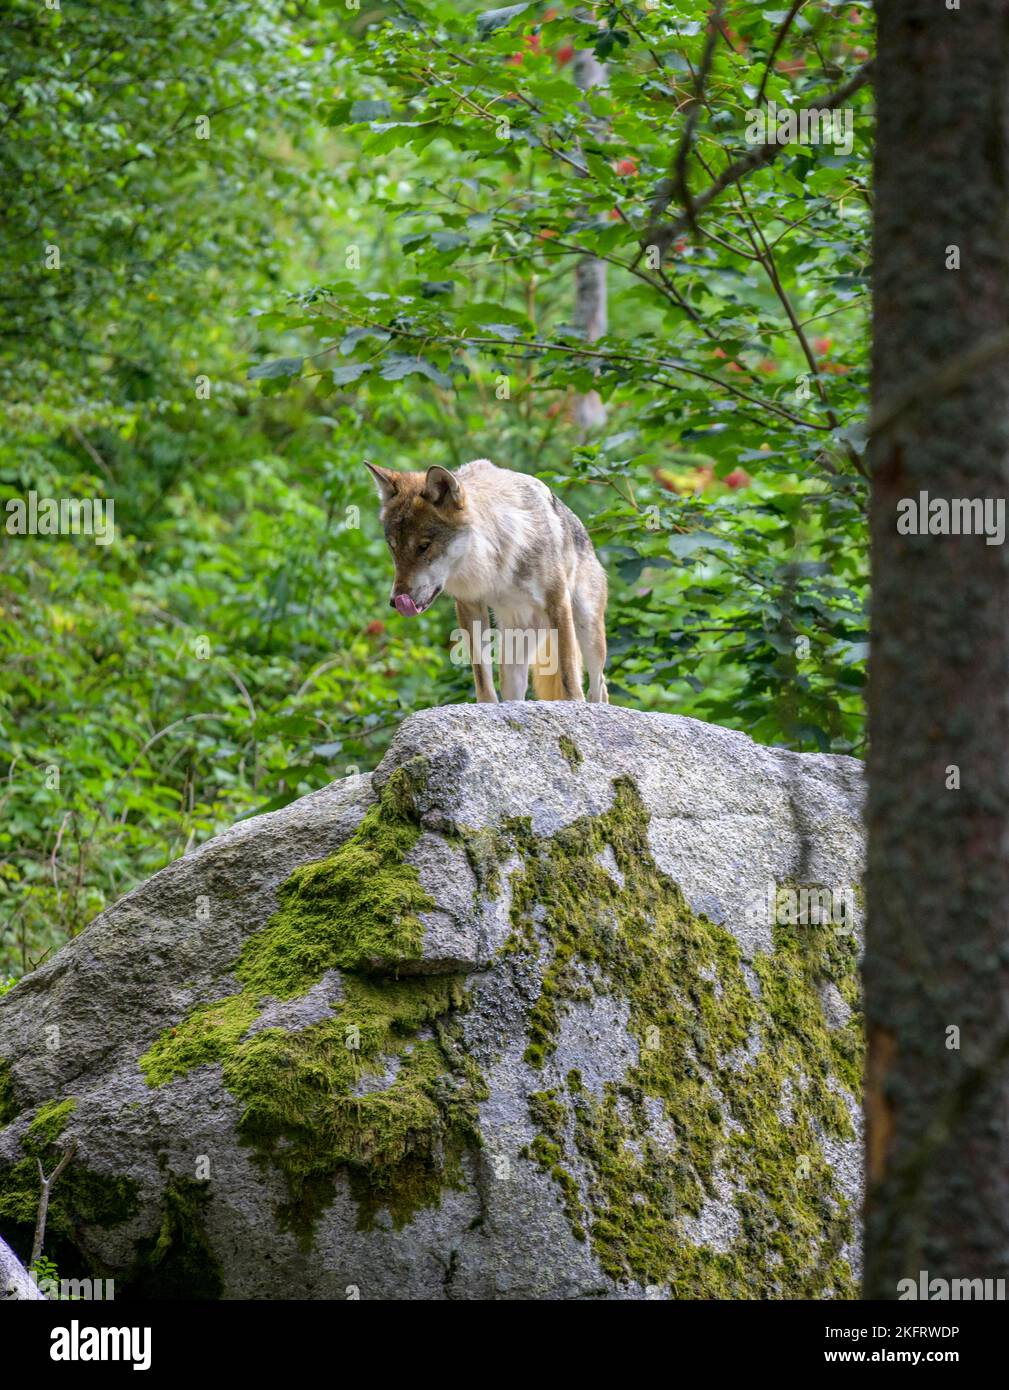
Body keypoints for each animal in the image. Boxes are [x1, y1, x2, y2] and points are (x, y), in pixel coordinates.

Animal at [365, 458, 608, 703]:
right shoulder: (469, 607)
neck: (493, 560)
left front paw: (574, 703)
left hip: (587, 628)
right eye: (393, 548)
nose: (395, 601)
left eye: (423, 546)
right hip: (513, 658)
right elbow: (482, 676)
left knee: (599, 684)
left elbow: (568, 675)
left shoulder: (557, 601)